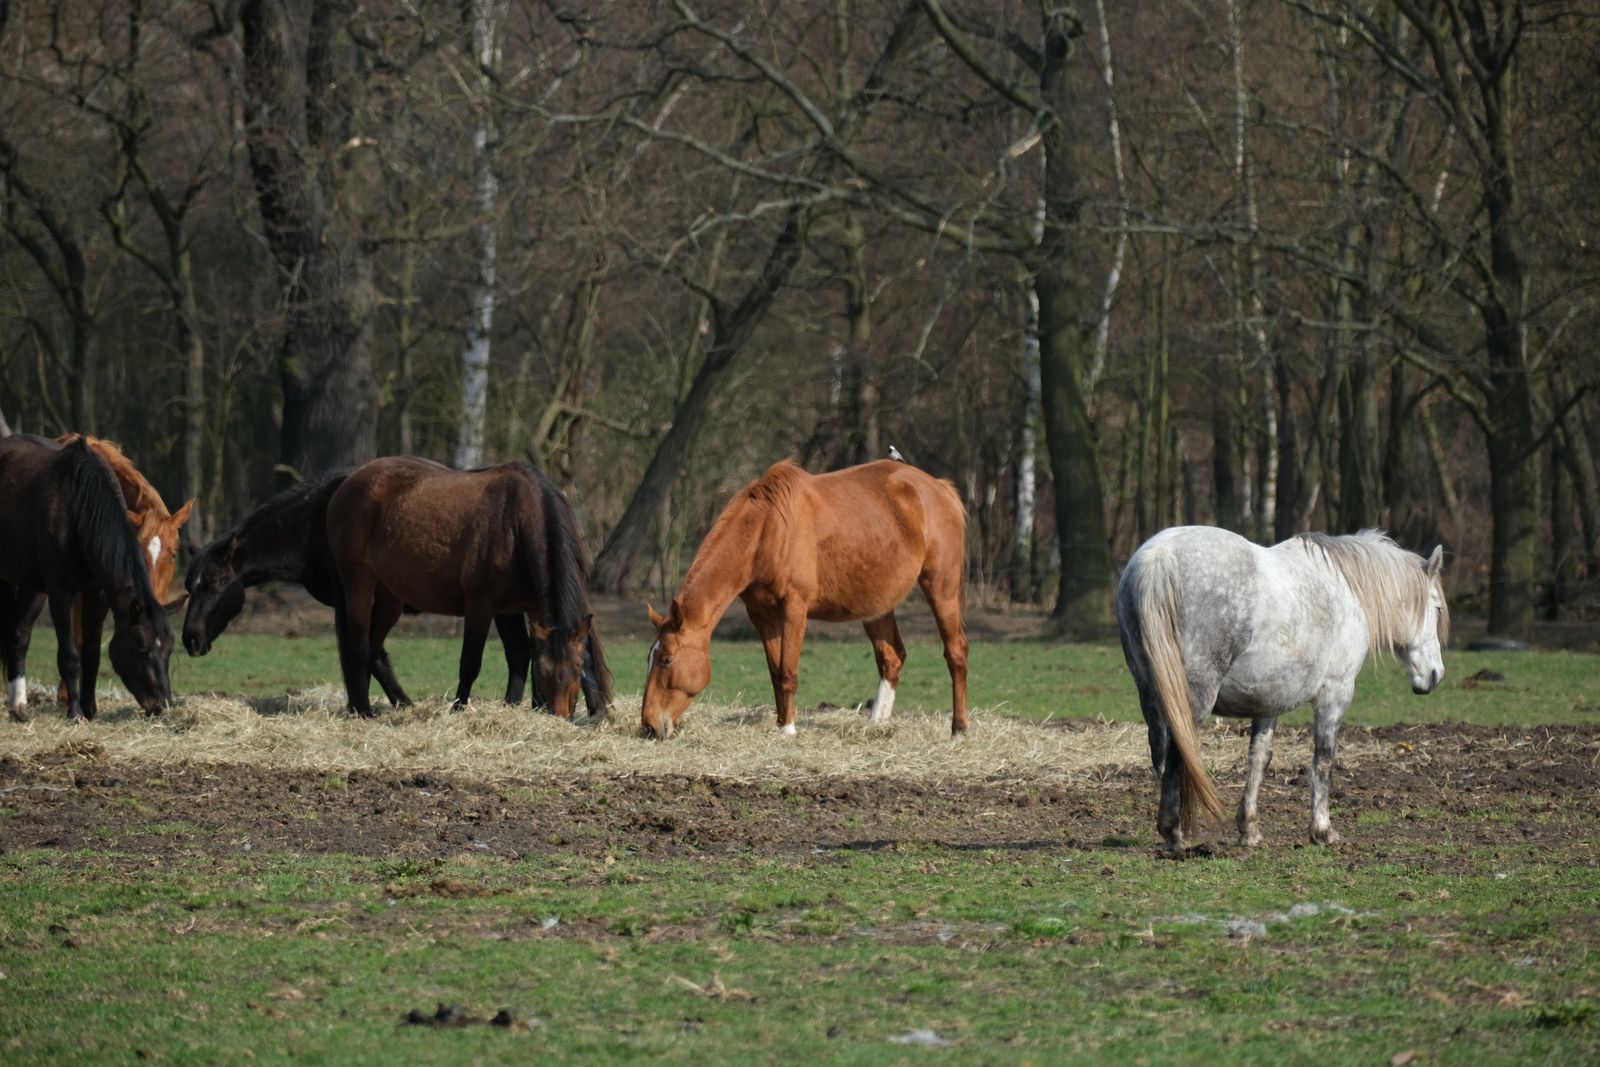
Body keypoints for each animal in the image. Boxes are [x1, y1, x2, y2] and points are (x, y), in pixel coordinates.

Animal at [0, 434, 175, 720]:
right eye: (141, 647)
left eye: (169, 648)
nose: (162, 705)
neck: (78, 506)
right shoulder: (60, 591)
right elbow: (70, 654)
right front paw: (74, 711)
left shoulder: (97, 593)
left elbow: (91, 651)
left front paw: (90, 708)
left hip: (28, 583)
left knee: (18, 634)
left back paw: (19, 705)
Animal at [182, 468, 535, 708]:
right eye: (189, 586)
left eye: (213, 584)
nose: (190, 639)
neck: (316, 520)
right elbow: (371, 653)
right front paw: (396, 704)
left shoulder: (351, 600)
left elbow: (363, 652)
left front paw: (372, 705)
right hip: (502, 610)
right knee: (518, 652)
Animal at [325, 456, 611, 720]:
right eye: (543, 671)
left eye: (577, 669)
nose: (558, 715)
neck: (518, 522)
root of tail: (351, 480)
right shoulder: (480, 607)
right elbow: (471, 662)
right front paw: (459, 708)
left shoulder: (521, 609)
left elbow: (520, 654)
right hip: (358, 582)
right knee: (359, 644)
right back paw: (363, 709)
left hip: (390, 596)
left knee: (374, 649)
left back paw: (386, 704)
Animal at [641, 458, 968, 739]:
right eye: (649, 657)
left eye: (667, 659)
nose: (648, 725)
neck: (767, 530)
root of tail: (939, 488)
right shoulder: (761, 614)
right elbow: (775, 672)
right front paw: (780, 724)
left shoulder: (794, 608)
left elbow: (788, 671)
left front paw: (788, 730)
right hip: (877, 606)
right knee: (891, 658)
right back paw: (877, 725)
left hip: (941, 588)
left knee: (956, 651)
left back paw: (959, 729)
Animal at [1115, 526, 1448, 854]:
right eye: (1437, 609)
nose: (1435, 675)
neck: (1347, 588)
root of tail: (1159, 558)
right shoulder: (1335, 692)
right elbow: (1324, 759)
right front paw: (1322, 831)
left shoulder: (1268, 702)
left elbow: (1259, 759)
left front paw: (1249, 829)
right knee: (1176, 752)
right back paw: (1173, 834)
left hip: (1152, 693)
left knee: (1161, 753)